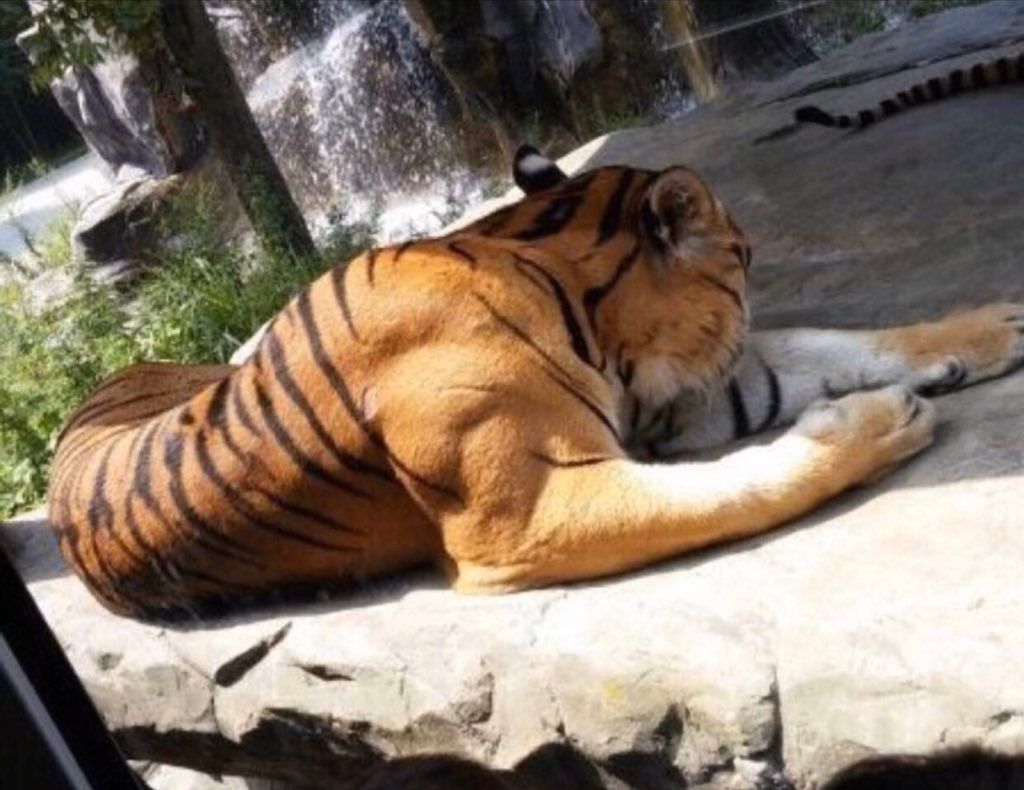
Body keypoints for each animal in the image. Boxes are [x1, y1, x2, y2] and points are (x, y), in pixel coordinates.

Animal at [47, 145, 1024, 619]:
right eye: (743, 258)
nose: (746, 282)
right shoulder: (530, 510)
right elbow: (742, 485)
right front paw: (875, 423)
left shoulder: (687, 403)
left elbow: (831, 343)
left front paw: (989, 329)